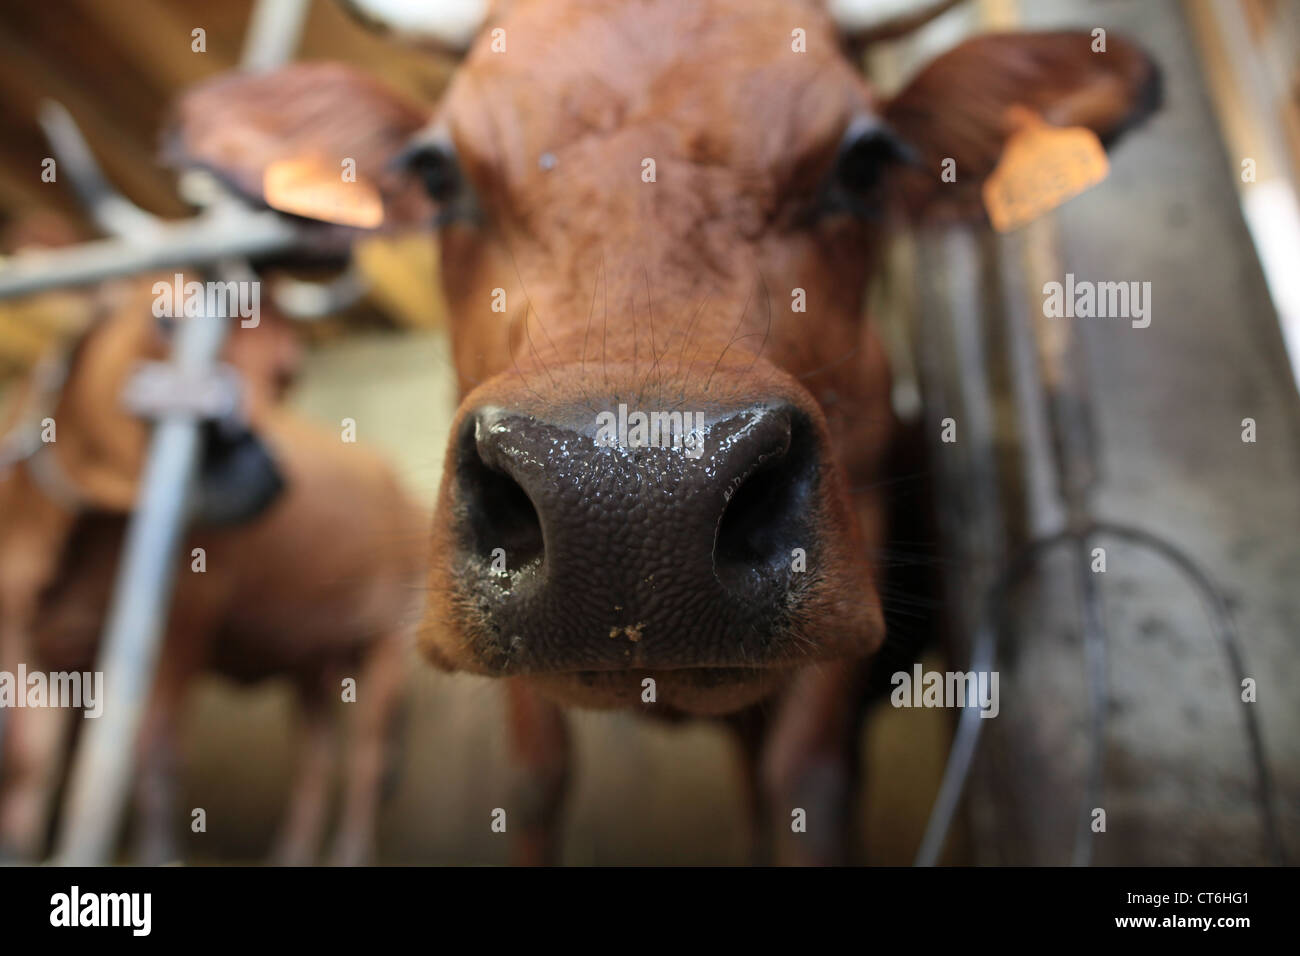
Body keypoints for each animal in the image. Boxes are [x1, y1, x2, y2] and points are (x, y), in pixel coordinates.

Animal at [0, 266, 427, 865]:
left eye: (286, 371)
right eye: (166, 318)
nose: (264, 468)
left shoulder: (181, 619)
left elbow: (153, 743)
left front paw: (159, 852)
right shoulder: (24, 633)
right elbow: (26, 763)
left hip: (387, 641)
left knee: (366, 760)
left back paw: (349, 854)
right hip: (313, 662)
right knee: (317, 759)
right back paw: (292, 853)